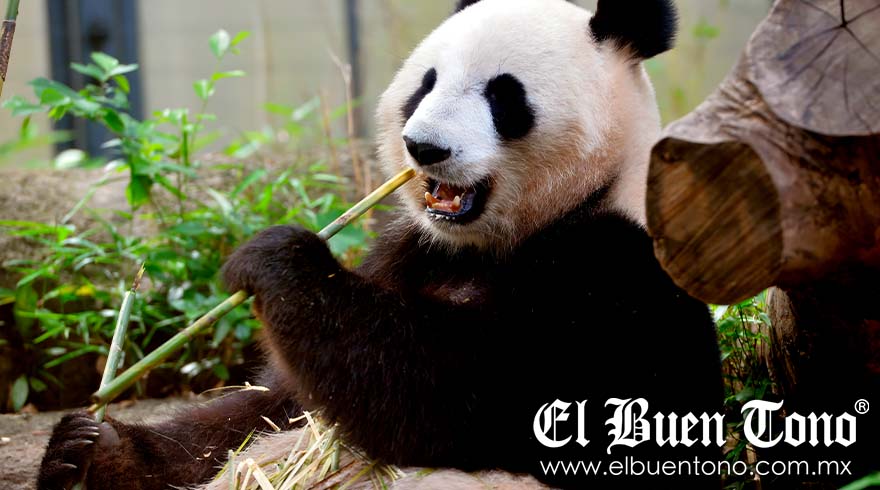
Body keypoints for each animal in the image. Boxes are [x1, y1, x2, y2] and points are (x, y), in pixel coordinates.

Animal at [37, 0, 722, 488]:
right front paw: (94, 451)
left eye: (503, 95)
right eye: (426, 83)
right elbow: (266, 408)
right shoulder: (411, 251)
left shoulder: (613, 280)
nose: (424, 146)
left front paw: (278, 260)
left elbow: (450, 387)